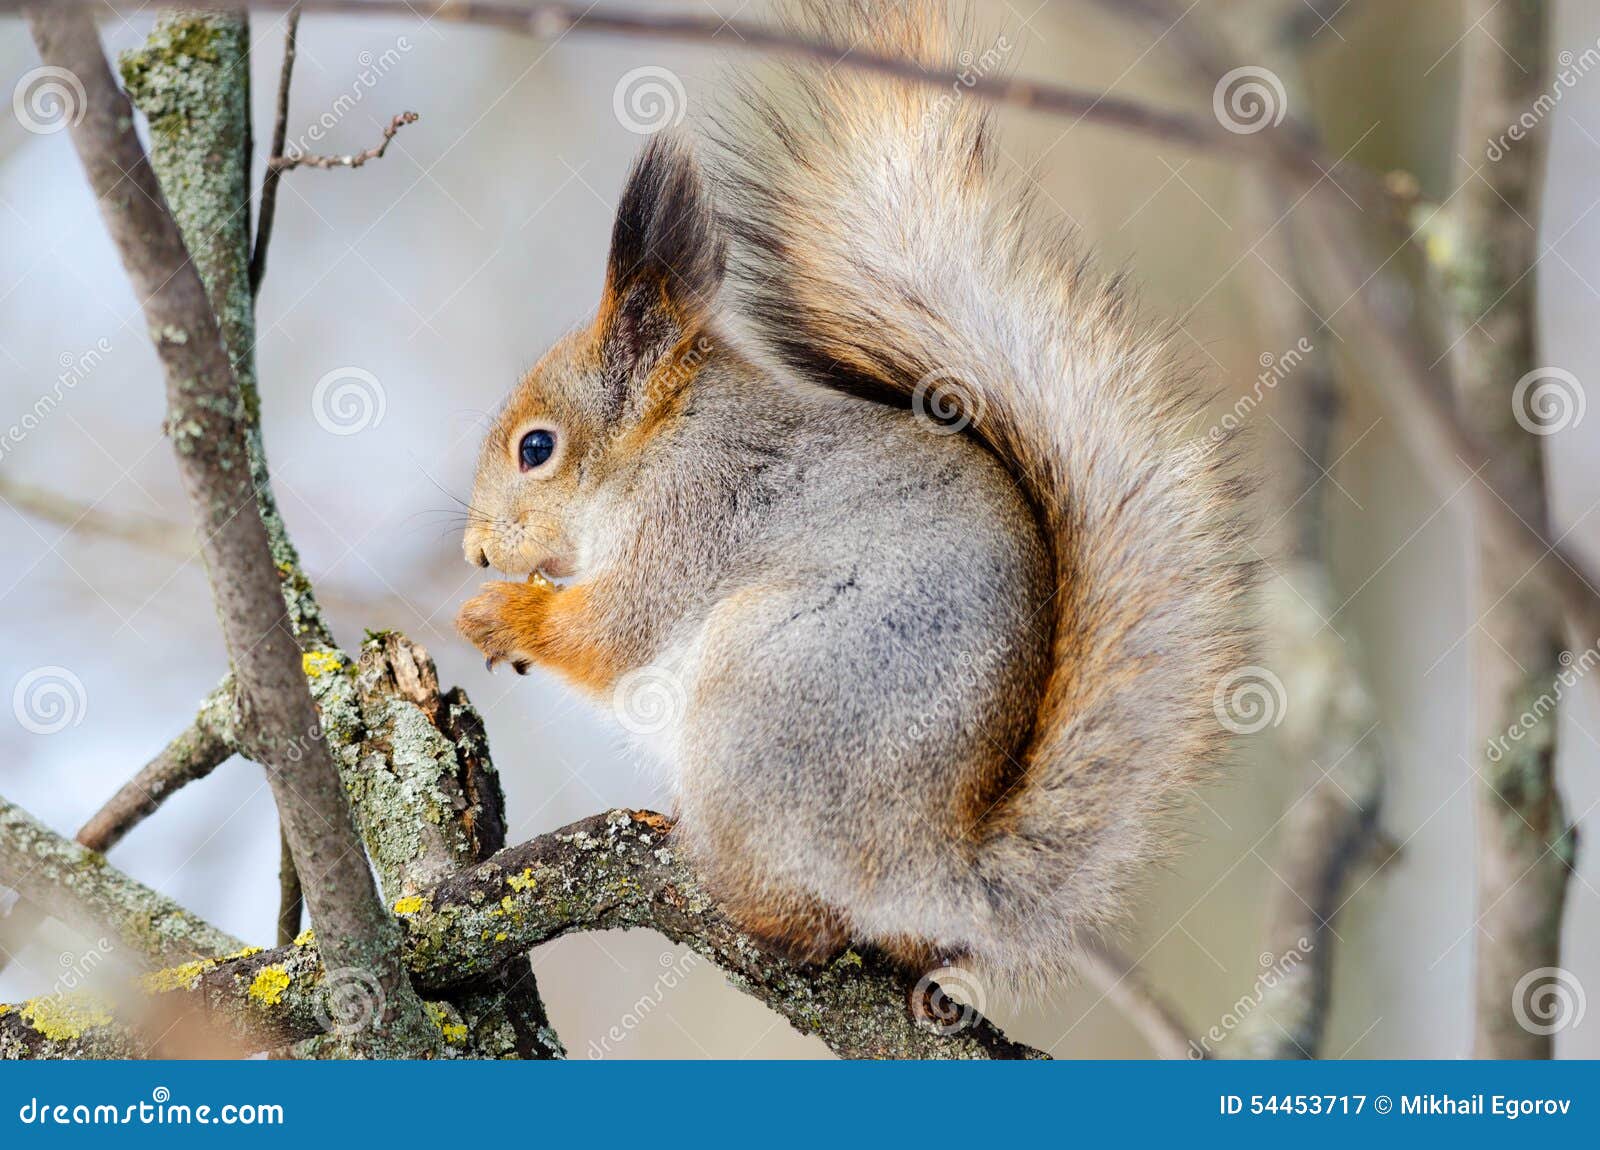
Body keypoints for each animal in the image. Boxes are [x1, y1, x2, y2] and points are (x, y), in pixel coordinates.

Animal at [456, 0, 1250, 989]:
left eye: (537, 448)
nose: (476, 552)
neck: (661, 445)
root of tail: (925, 870)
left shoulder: (698, 515)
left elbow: (613, 630)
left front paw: (497, 616)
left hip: (763, 691)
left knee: (805, 927)